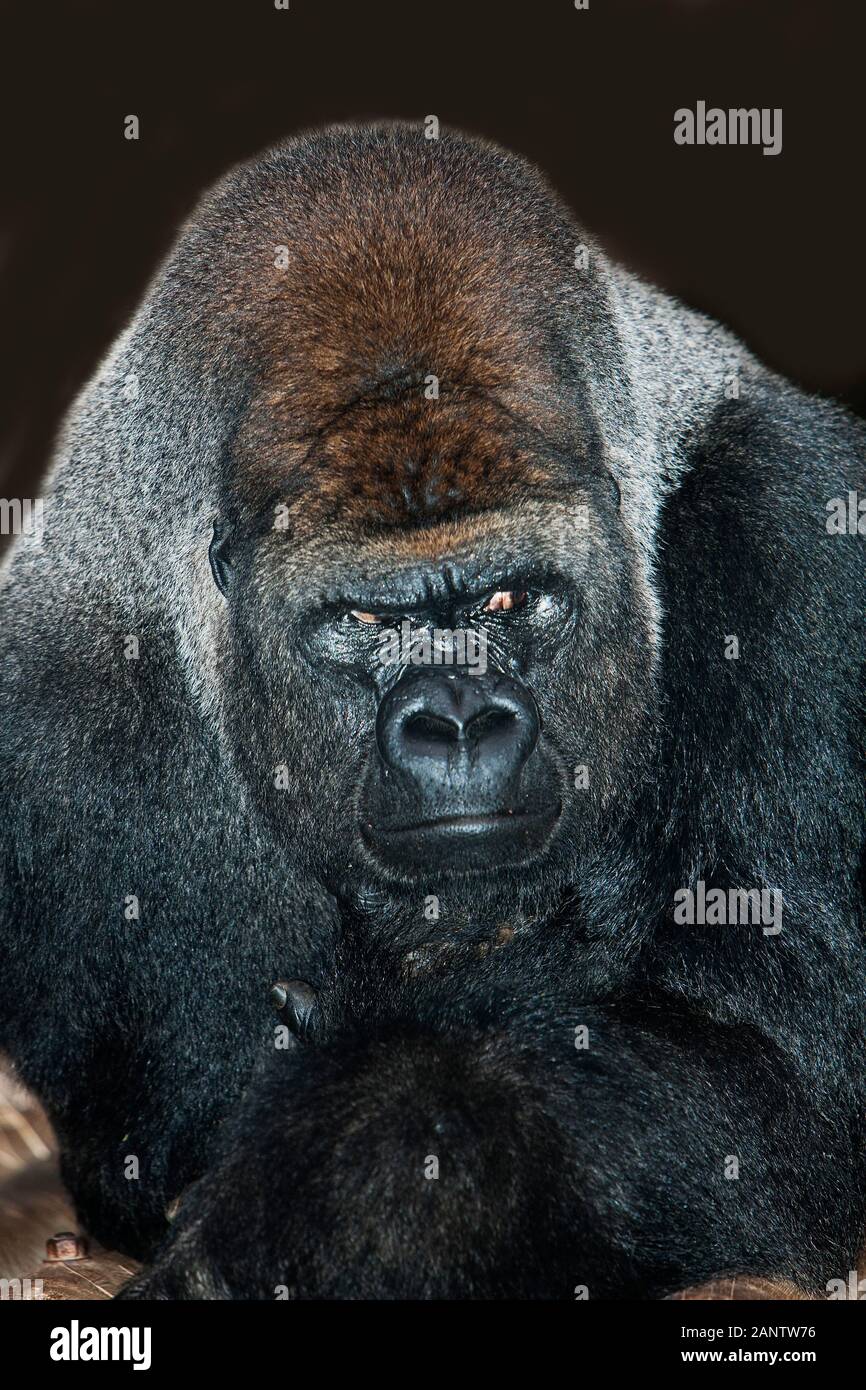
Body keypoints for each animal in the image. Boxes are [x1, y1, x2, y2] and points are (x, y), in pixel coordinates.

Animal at [0, 122, 864, 1297]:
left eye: (508, 599)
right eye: (364, 618)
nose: (456, 722)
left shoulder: (800, 538)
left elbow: (771, 1062)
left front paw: (326, 1188)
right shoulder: (44, 714)